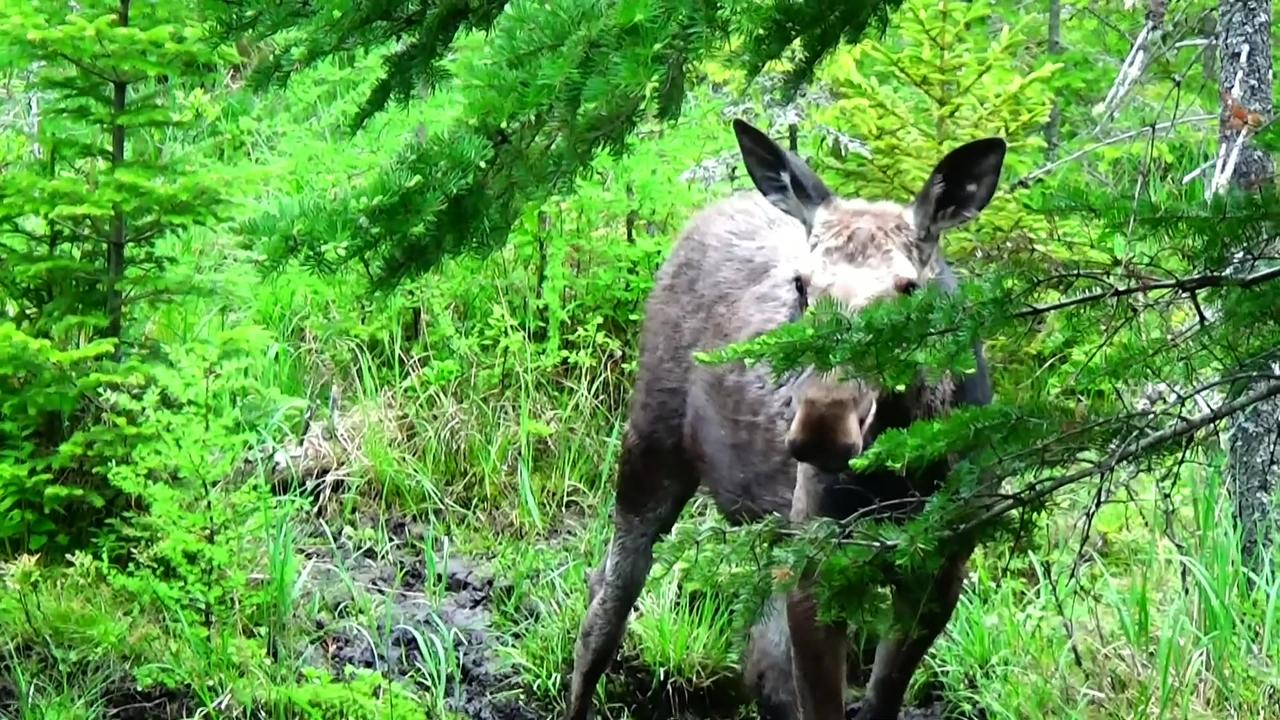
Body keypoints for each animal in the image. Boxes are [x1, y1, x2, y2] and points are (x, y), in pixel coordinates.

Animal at [563, 118, 1006, 720]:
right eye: (802, 285)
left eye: (909, 288)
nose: (822, 427)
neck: (902, 476)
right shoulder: (818, 556)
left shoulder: (943, 564)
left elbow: (875, 698)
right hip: (651, 444)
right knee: (603, 610)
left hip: (766, 527)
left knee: (759, 662)